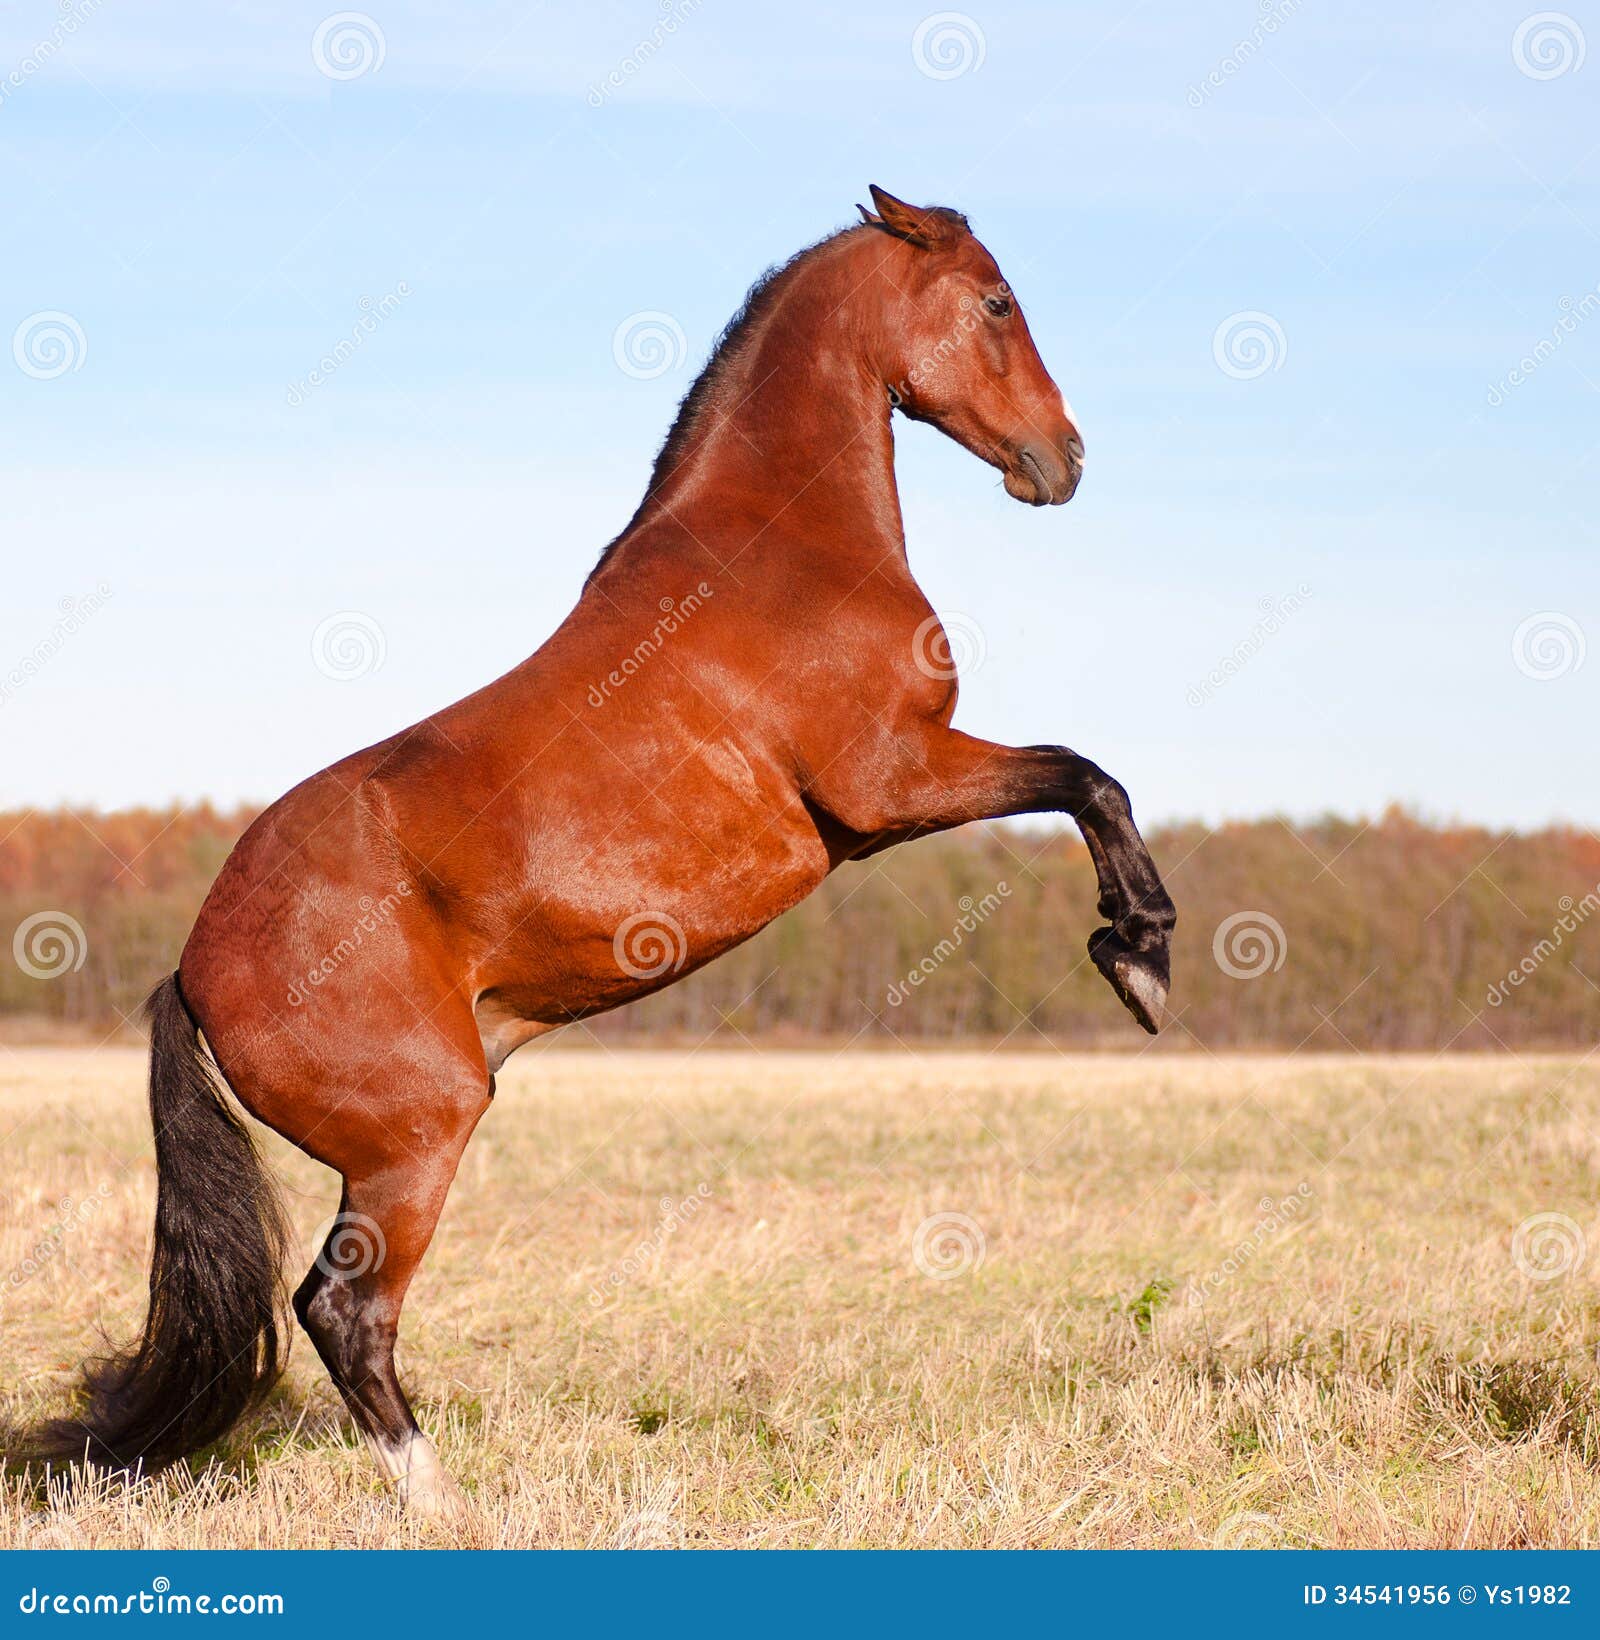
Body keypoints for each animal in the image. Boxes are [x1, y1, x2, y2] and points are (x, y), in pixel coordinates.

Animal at [15, 187, 1176, 1514]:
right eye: (995, 301)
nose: (1062, 460)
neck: (779, 551)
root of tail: (194, 969)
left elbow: (1084, 778)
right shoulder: (893, 782)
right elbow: (1087, 776)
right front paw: (1139, 956)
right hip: (422, 1138)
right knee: (346, 1311)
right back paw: (445, 1509)